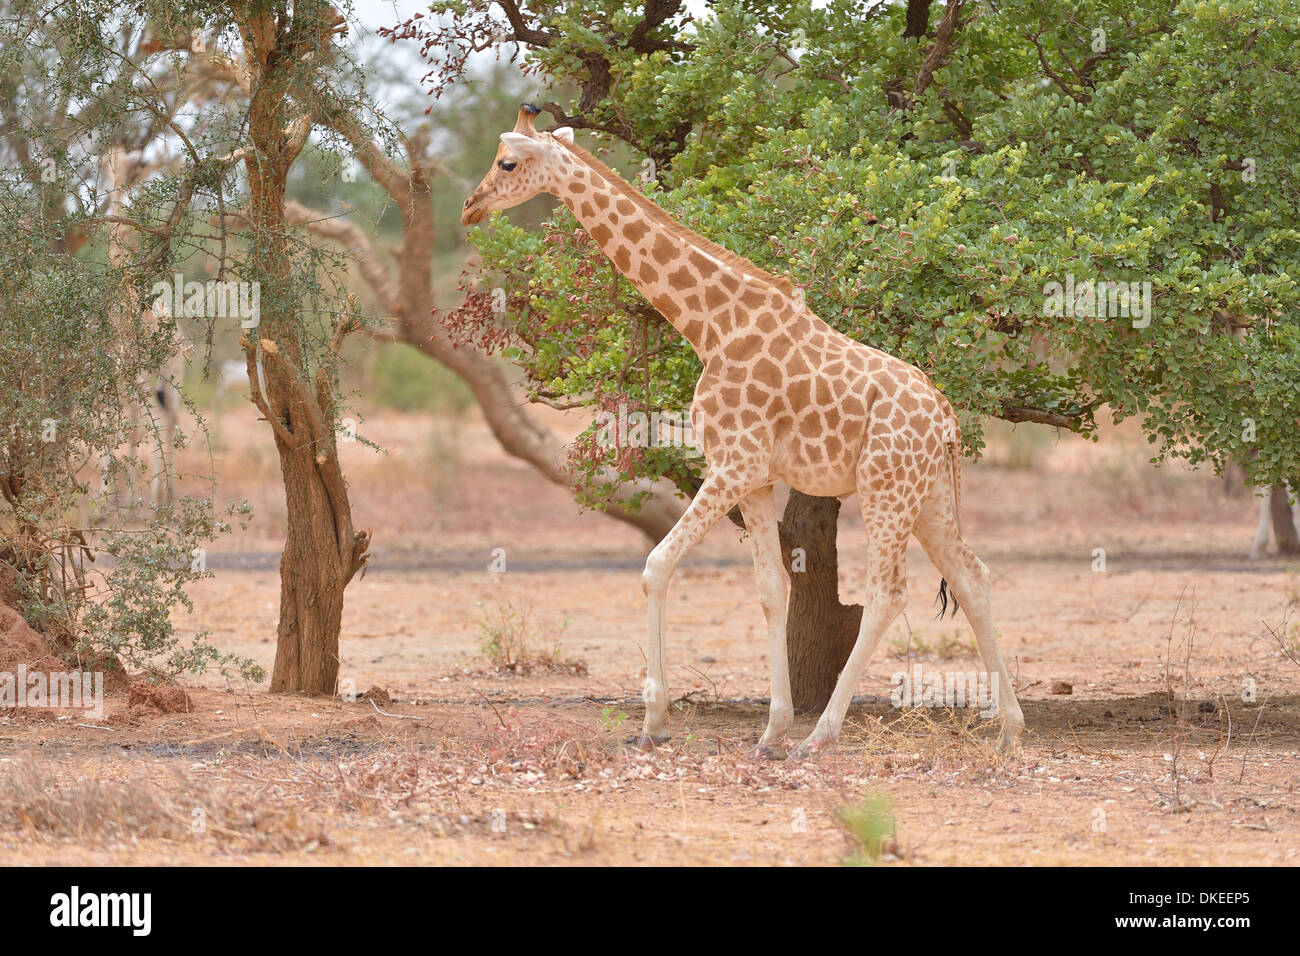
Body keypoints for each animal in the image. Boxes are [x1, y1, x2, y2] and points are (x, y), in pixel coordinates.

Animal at [462, 106, 1024, 756]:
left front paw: (655, 720)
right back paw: (1009, 729)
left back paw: (822, 736)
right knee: (972, 576)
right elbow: (772, 588)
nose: (470, 207)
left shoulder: (732, 462)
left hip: (887, 488)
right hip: (927, 495)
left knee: (889, 592)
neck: (710, 325)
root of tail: (947, 415)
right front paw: (771, 729)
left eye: (507, 163)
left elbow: (657, 564)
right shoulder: (756, 477)